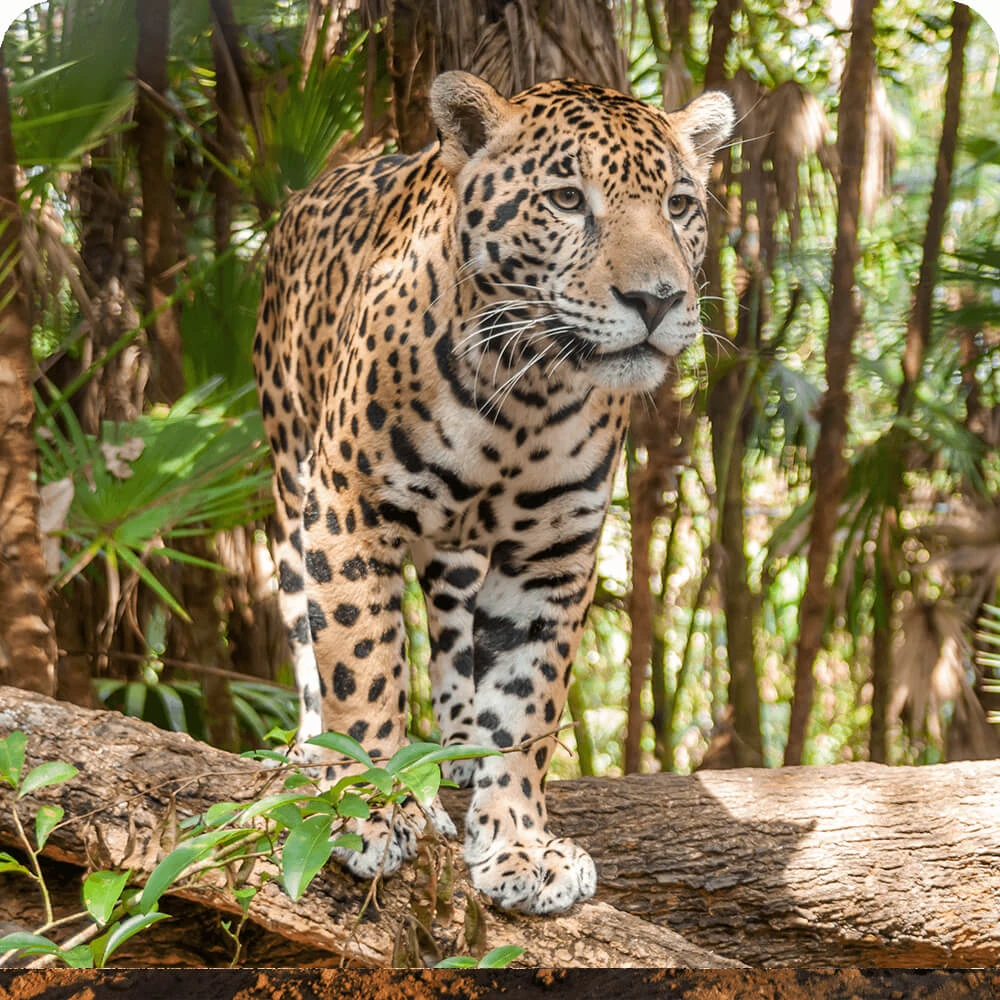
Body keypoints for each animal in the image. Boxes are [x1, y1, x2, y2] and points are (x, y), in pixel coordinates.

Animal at [253, 70, 733, 915]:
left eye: (679, 205)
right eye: (568, 199)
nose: (657, 301)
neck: (526, 394)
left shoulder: (552, 556)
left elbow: (525, 700)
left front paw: (519, 842)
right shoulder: (348, 511)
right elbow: (362, 664)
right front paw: (370, 809)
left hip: (457, 552)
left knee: (450, 633)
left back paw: (456, 749)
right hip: (289, 484)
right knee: (308, 636)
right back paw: (315, 753)